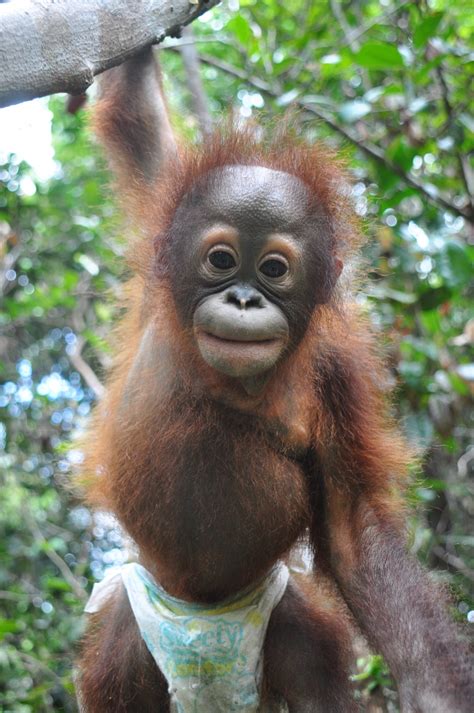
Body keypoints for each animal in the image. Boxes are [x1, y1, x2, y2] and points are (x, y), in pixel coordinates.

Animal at [75, 48, 473, 713]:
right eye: (220, 259)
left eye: (275, 269)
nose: (243, 299)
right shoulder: (164, 212)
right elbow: (135, 121)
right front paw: (139, 49)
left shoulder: (340, 373)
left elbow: (352, 530)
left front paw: (439, 690)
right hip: (137, 626)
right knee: (119, 665)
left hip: (286, 621)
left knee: (313, 663)